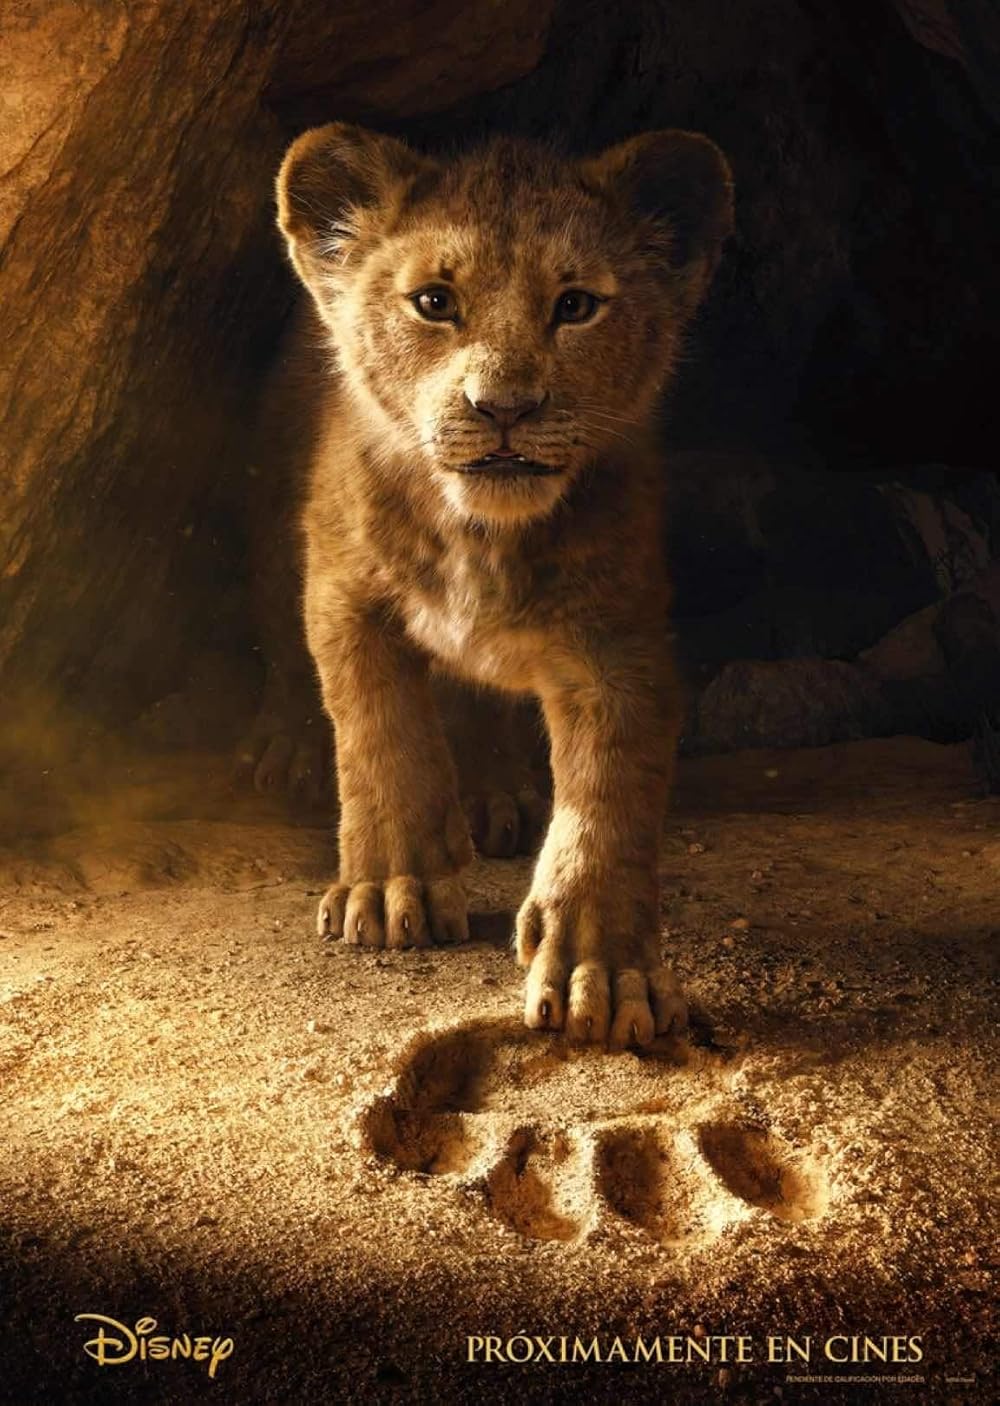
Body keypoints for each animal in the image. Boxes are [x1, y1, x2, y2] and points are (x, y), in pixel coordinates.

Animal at [270, 122, 733, 1048]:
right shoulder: (342, 593)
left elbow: (608, 800)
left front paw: (604, 970)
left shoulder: (619, 642)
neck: (480, 535)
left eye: (577, 306)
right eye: (434, 302)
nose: (504, 408)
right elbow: (381, 735)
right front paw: (393, 889)